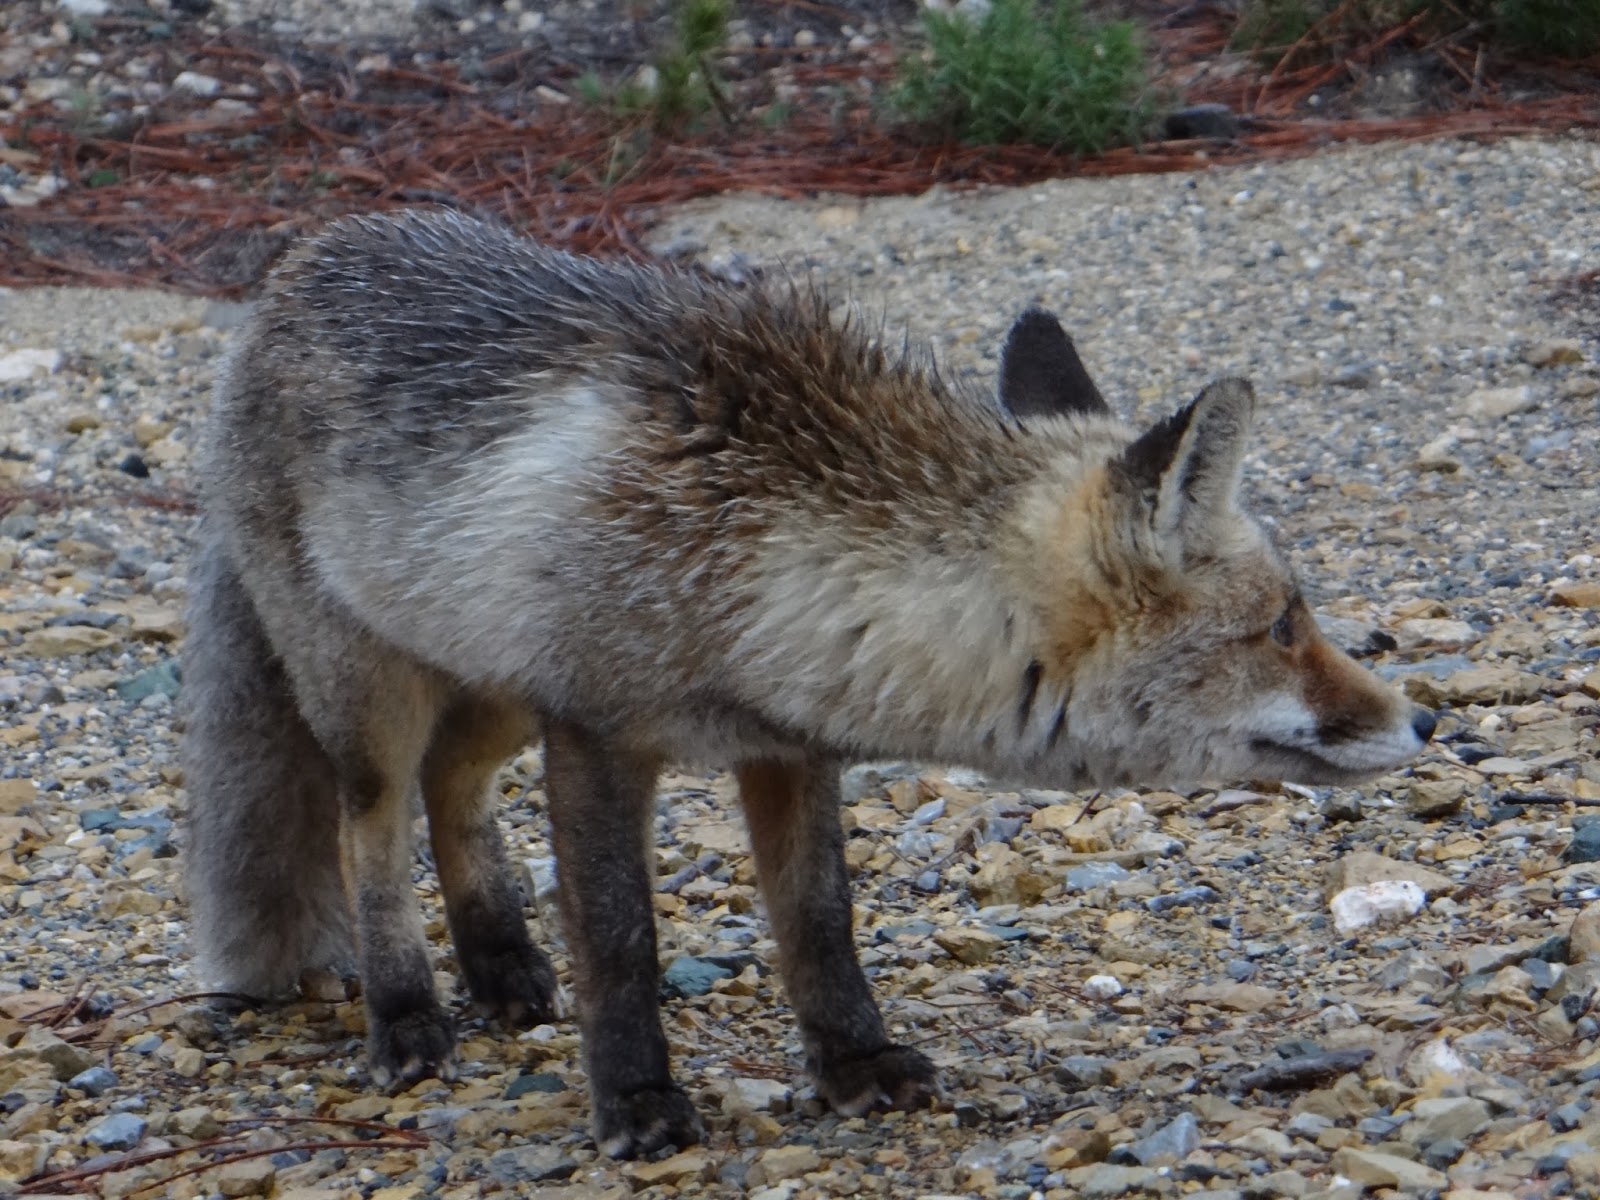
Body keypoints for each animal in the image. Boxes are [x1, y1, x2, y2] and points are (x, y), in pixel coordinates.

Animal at [181, 208, 1435, 1158]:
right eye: (1284, 624)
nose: (1423, 718)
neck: (748, 555)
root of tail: (308, 252)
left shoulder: (784, 742)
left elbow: (819, 920)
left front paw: (852, 1060)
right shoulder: (597, 731)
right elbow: (622, 940)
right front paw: (636, 1100)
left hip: (487, 685)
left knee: (455, 791)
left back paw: (500, 965)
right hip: (378, 698)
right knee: (374, 834)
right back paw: (407, 1015)